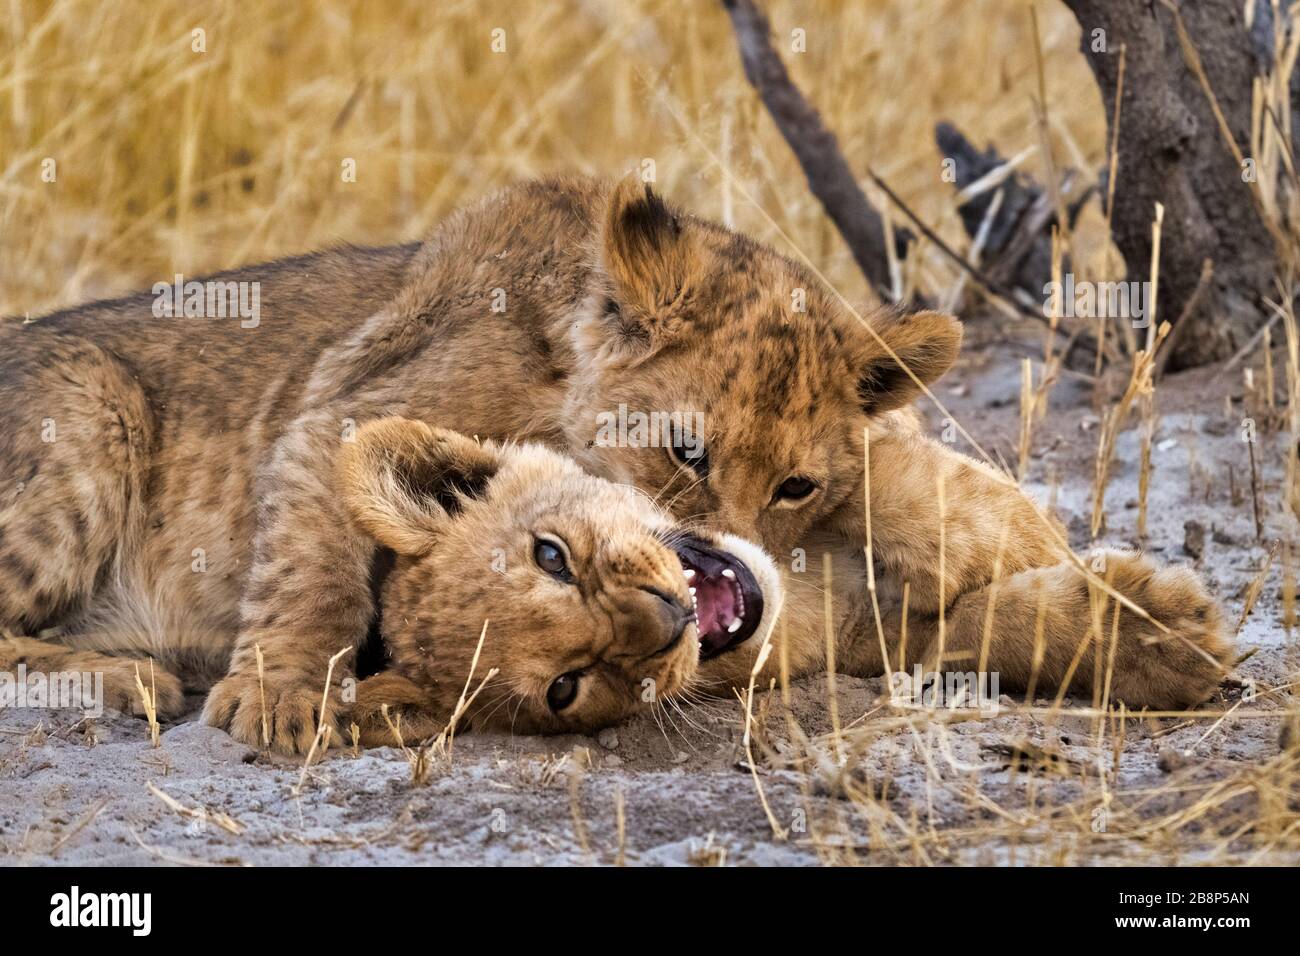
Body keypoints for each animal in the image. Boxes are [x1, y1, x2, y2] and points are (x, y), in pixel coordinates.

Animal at [0, 174, 1231, 752]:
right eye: (686, 450)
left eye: (795, 483)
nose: (730, 562)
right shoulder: (339, 410)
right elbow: (310, 561)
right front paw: (280, 693)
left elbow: (977, 613)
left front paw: (1154, 641)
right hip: (88, 411)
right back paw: (127, 675)